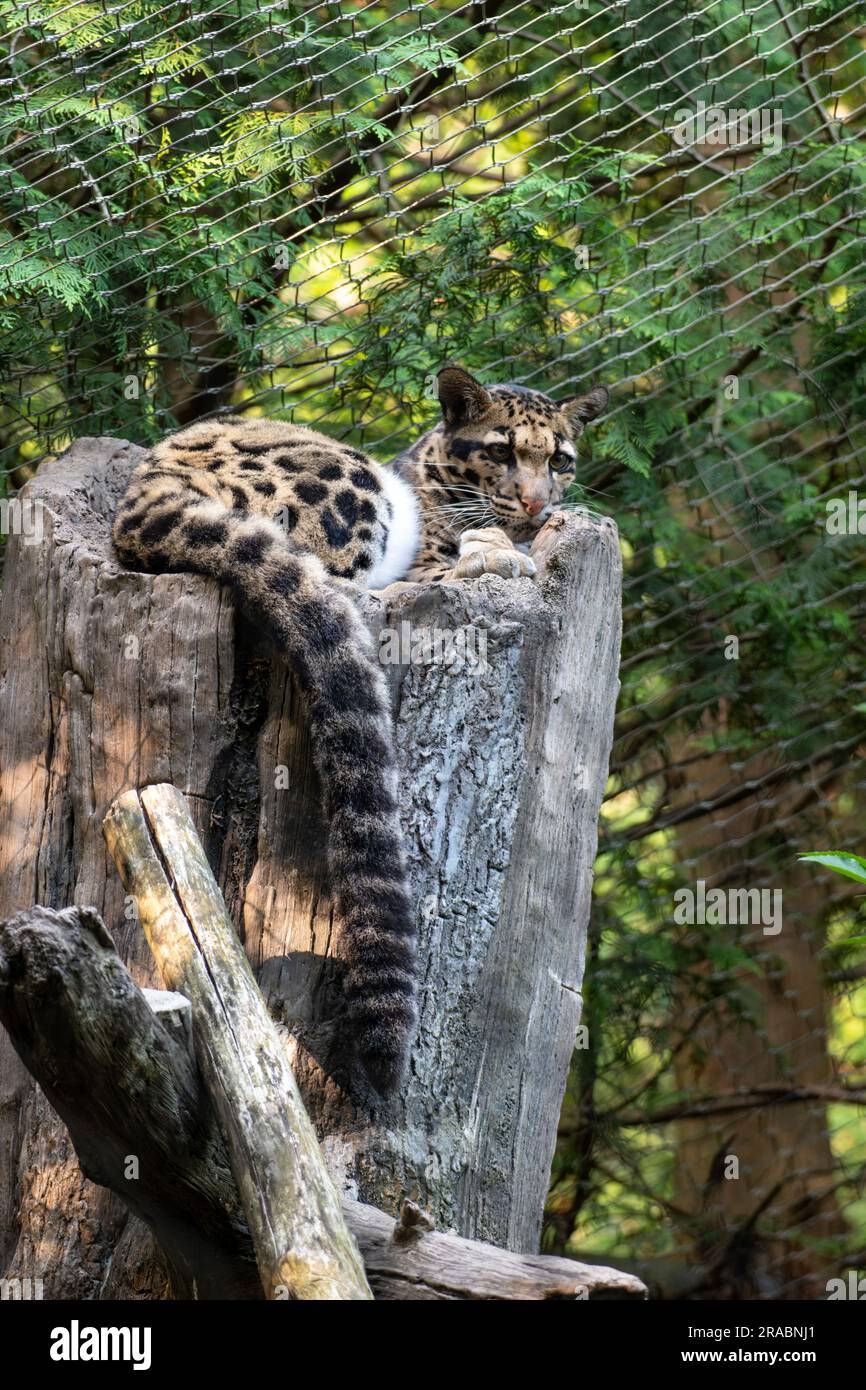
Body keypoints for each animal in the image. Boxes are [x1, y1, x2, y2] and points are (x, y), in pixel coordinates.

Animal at [112, 366, 608, 1095]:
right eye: (500, 450)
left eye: (562, 460)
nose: (537, 504)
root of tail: (140, 495)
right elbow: (460, 553)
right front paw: (498, 553)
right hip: (344, 484)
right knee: (343, 580)